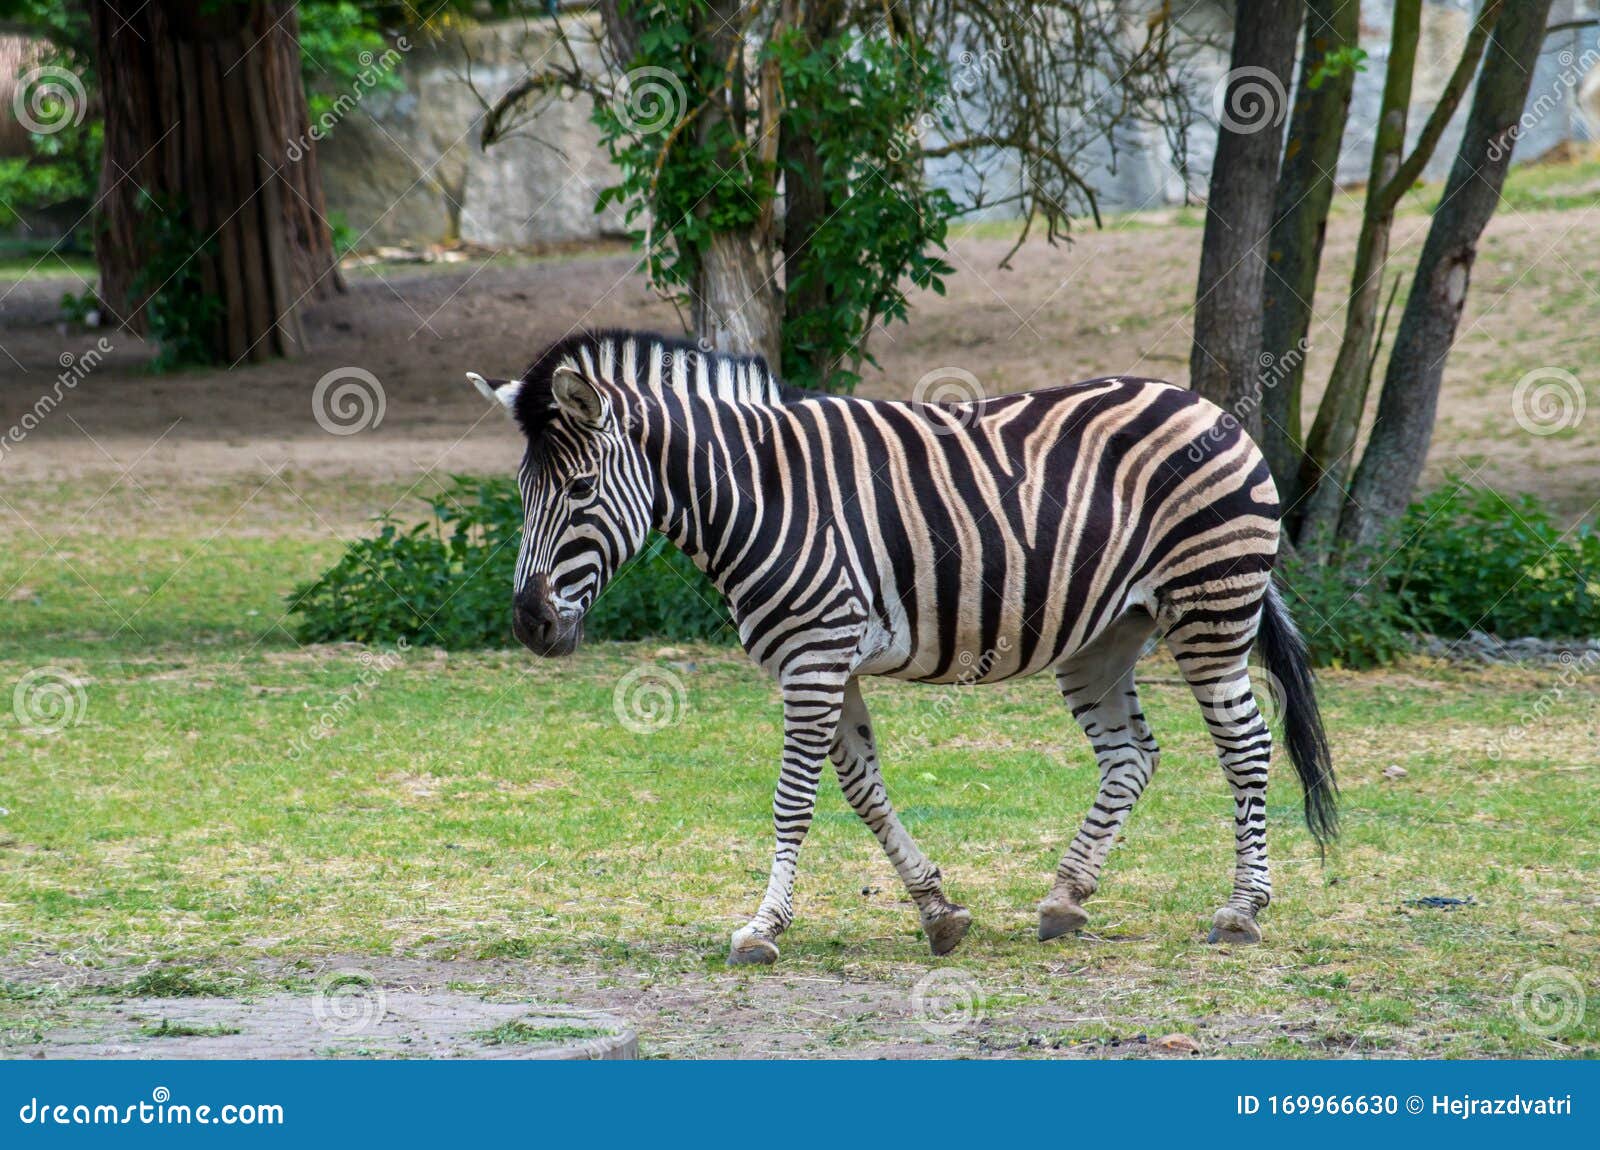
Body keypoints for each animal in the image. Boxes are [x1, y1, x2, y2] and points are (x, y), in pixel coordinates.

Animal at [467, 330, 1336, 965]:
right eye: (523, 494)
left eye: (581, 491)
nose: (530, 625)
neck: (761, 495)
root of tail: (1209, 407)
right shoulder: (821, 660)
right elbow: (863, 790)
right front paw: (938, 911)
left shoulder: (816, 657)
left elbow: (794, 799)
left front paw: (763, 929)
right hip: (1107, 633)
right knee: (1131, 754)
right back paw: (1065, 898)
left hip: (1209, 608)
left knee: (1246, 746)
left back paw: (1242, 910)